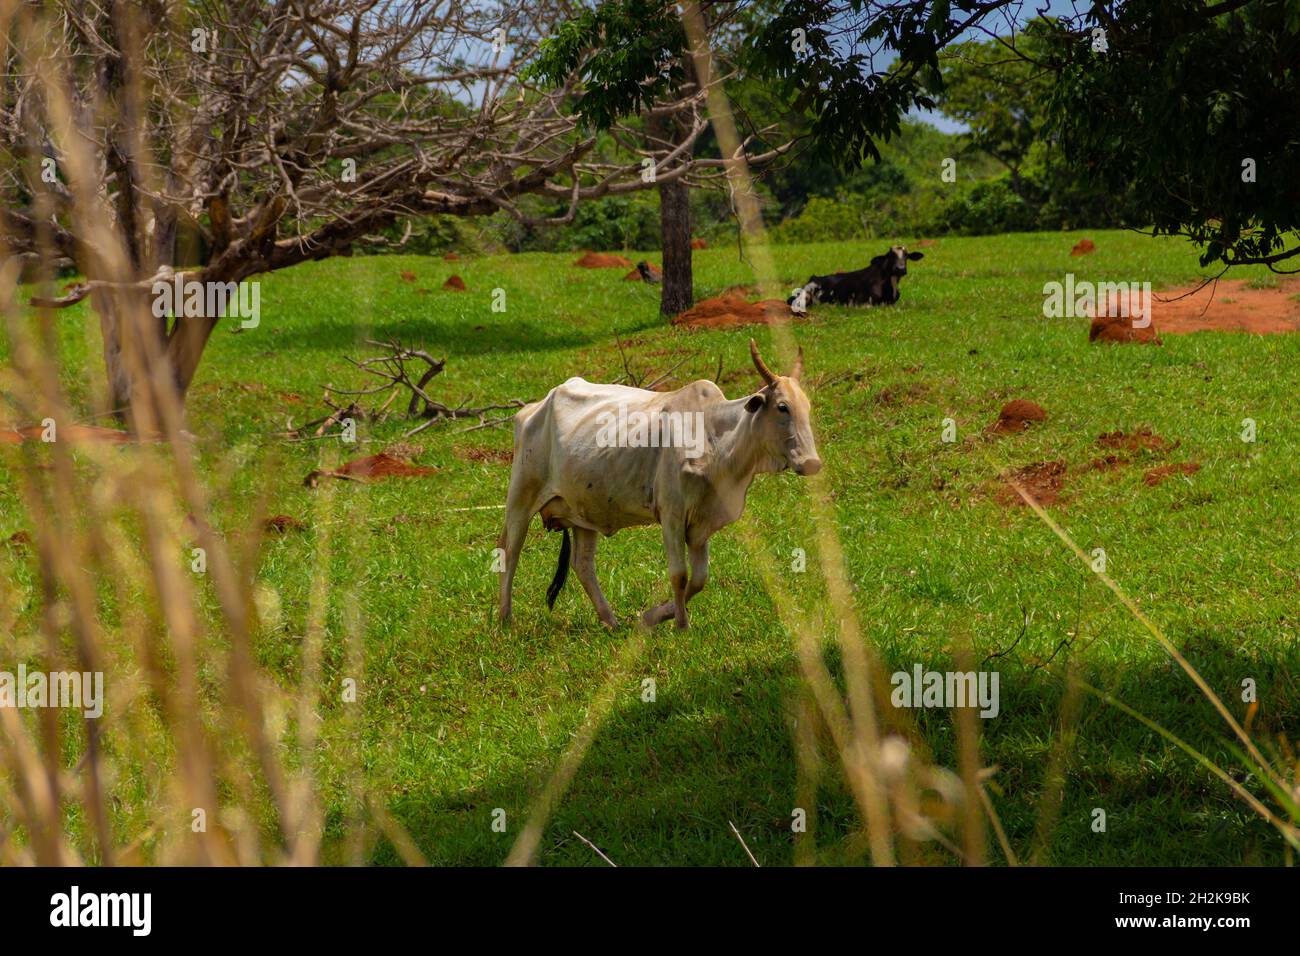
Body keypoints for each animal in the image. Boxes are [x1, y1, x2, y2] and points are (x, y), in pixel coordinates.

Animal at [497, 340, 821, 630]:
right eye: (782, 407)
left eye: (806, 407)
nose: (812, 462)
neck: (715, 440)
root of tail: (532, 408)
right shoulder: (672, 513)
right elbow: (679, 574)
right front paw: (680, 624)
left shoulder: (701, 521)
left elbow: (699, 578)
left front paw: (651, 617)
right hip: (521, 496)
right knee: (509, 551)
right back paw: (505, 618)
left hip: (583, 513)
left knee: (583, 564)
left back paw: (611, 621)